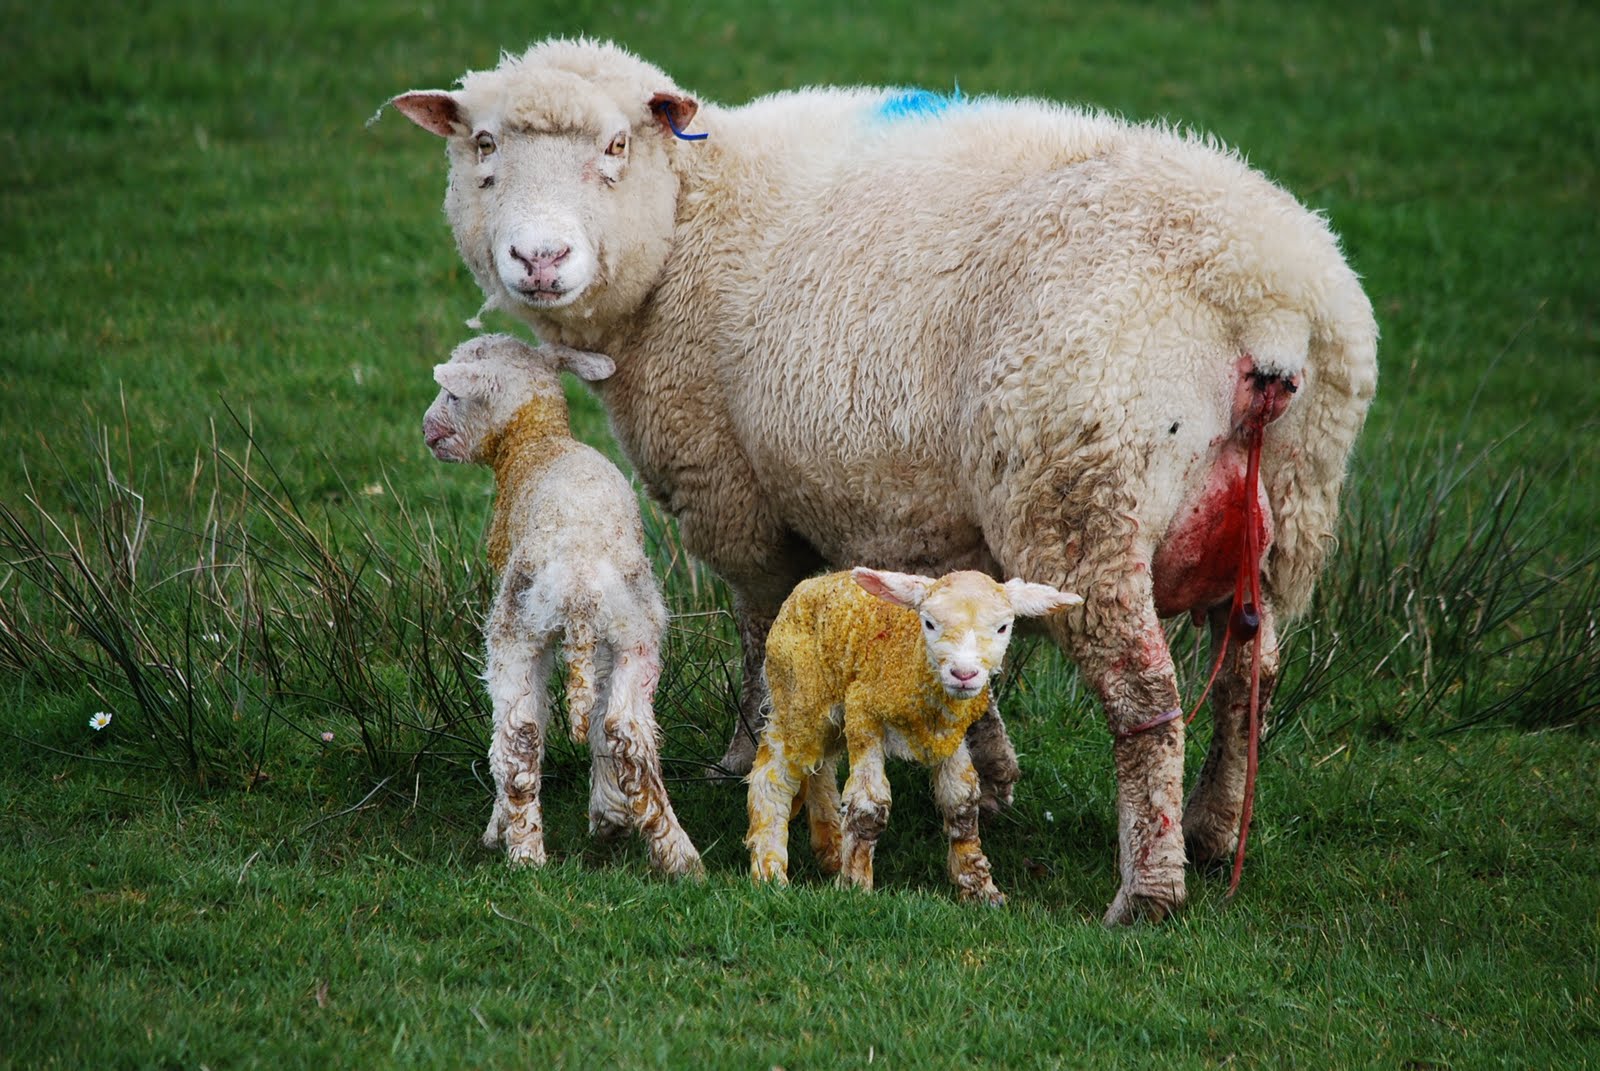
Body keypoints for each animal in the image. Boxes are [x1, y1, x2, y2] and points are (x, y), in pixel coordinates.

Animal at [423, 332, 702, 879]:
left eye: (453, 395)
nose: (428, 431)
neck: (537, 442)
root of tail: (578, 584)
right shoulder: (606, 643)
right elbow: (597, 719)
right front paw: (609, 812)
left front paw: (502, 829)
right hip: (637, 629)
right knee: (625, 729)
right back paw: (673, 850)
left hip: (516, 623)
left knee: (519, 735)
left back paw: (523, 851)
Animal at [747, 568, 1082, 904]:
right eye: (929, 623)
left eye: (1002, 628)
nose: (964, 674)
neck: (913, 662)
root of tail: (813, 582)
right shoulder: (864, 713)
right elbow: (869, 805)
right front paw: (855, 887)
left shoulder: (950, 733)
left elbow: (962, 802)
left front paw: (980, 890)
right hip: (799, 696)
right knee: (772, 776)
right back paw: (770, 872)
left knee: (821, 767)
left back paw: (831, 849)